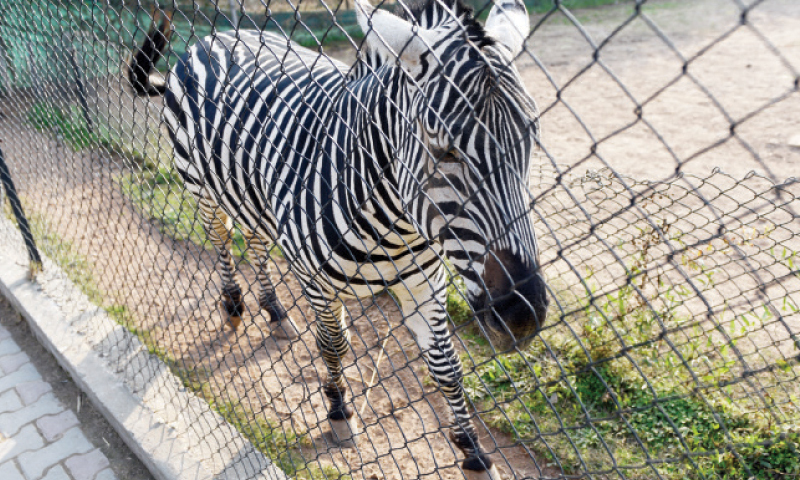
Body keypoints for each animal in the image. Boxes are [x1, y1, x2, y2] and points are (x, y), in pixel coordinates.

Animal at [129, 0, 548, 477]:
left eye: (532, 139)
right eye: (444, 151)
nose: (522, 315)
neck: (395, 225)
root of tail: (210, 38)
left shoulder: (426, 284)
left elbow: (447, 367)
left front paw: (473, 452)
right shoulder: (317, 284)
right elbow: (334, 346)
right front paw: (338, 412)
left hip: (249, 192)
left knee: (254, 243)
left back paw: (274, 310)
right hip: (201, 186)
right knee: (221, 239)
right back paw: (234, 305)